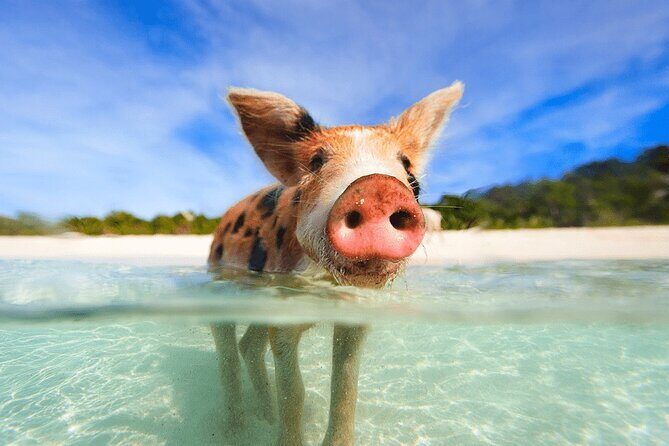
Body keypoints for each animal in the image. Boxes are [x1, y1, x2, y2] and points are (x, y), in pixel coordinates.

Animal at [208, 82, 463, 445]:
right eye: (316, 162)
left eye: (409, 171)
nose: (377, 188)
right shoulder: (283, 313)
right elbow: (294, 393)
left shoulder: (355, 316)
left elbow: (345, 388)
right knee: (227, 346)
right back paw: (235, 430)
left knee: (250, 347)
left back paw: (264, 416)